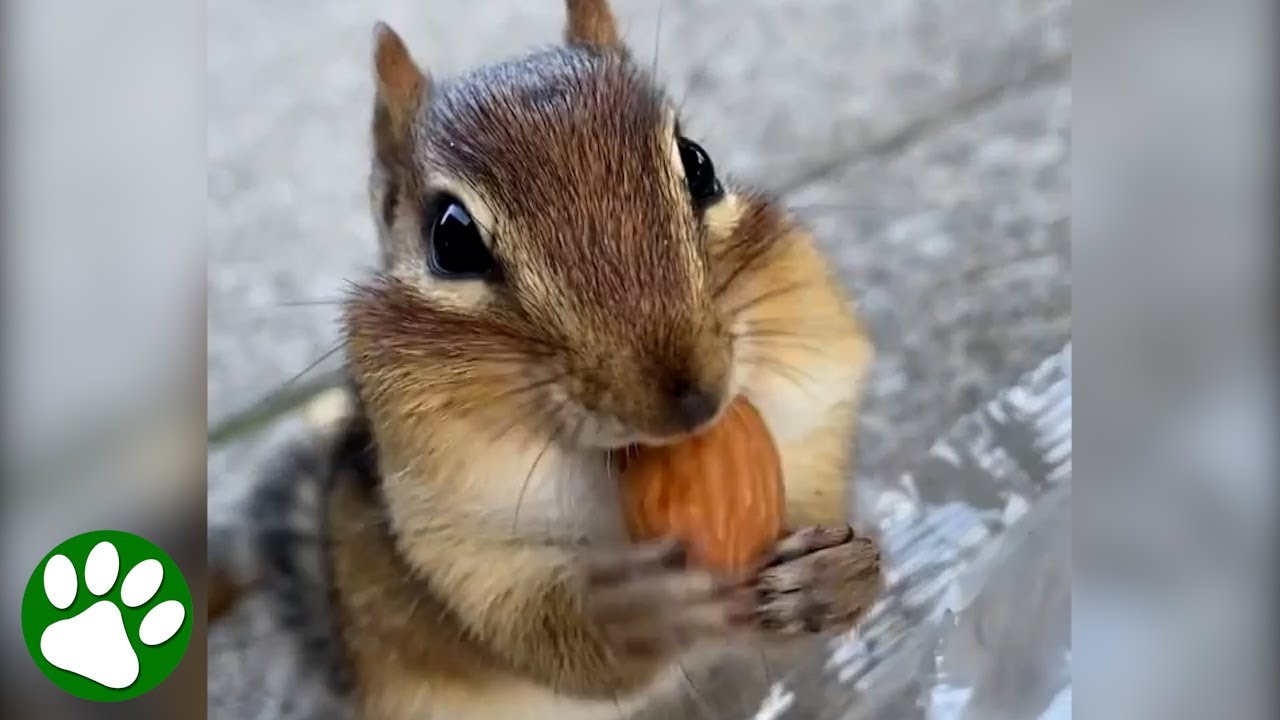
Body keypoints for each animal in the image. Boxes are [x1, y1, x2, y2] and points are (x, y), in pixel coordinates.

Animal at [210, 2, 883, 718]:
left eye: (698, 163)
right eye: (451, 238)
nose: (693, 402)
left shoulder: (814, 406)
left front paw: (840, 574)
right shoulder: (454, 533)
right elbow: (536, 629)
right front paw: (631, 614)